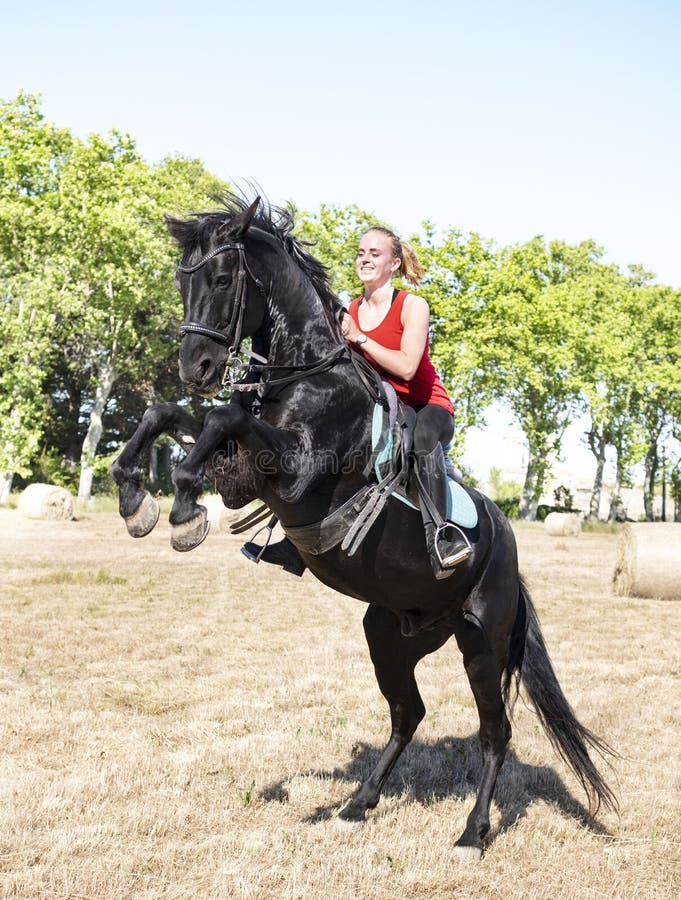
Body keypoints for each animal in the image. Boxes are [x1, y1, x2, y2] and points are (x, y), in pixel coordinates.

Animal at [110, 194, 617, 859]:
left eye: (222, 280)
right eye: (181, 281)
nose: (196, 367)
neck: (305, 374)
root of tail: (508, 547)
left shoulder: (295, 474)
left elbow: (219, 418)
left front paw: (182, 510)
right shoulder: (242, 470)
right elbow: (169, 413)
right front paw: (133, 493)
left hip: (480, 640)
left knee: (494, 732)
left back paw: (472, 833)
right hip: (391, 632)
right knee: (408, 714)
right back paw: (356, 803)